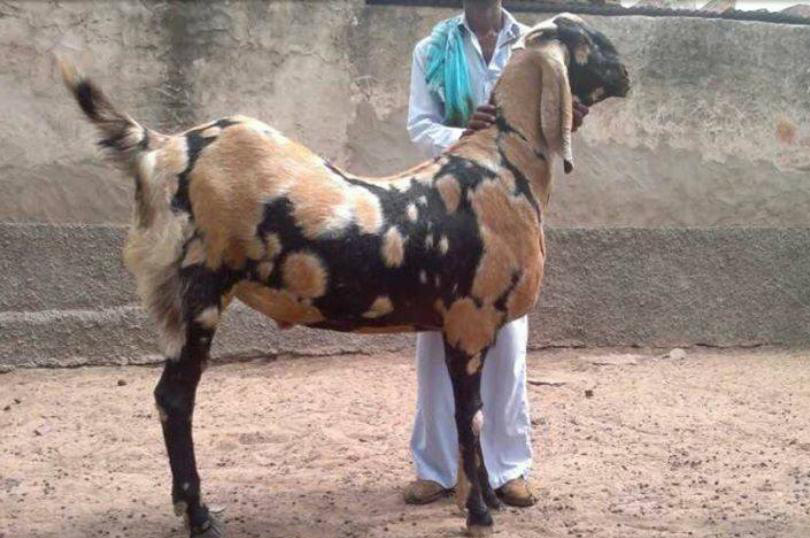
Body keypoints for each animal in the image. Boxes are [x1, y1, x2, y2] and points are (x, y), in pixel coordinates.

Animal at [60, 13, 629, 538]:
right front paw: (479, 515)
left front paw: (486, 496)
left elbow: (476, 413)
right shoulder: (470, 321)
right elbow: (470, 416)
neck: (503, 164)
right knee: (175, 400)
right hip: (197, 293)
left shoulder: (470, 324)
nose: (626, 72)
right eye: (591, 41)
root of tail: (161, 147)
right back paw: (198, 516)